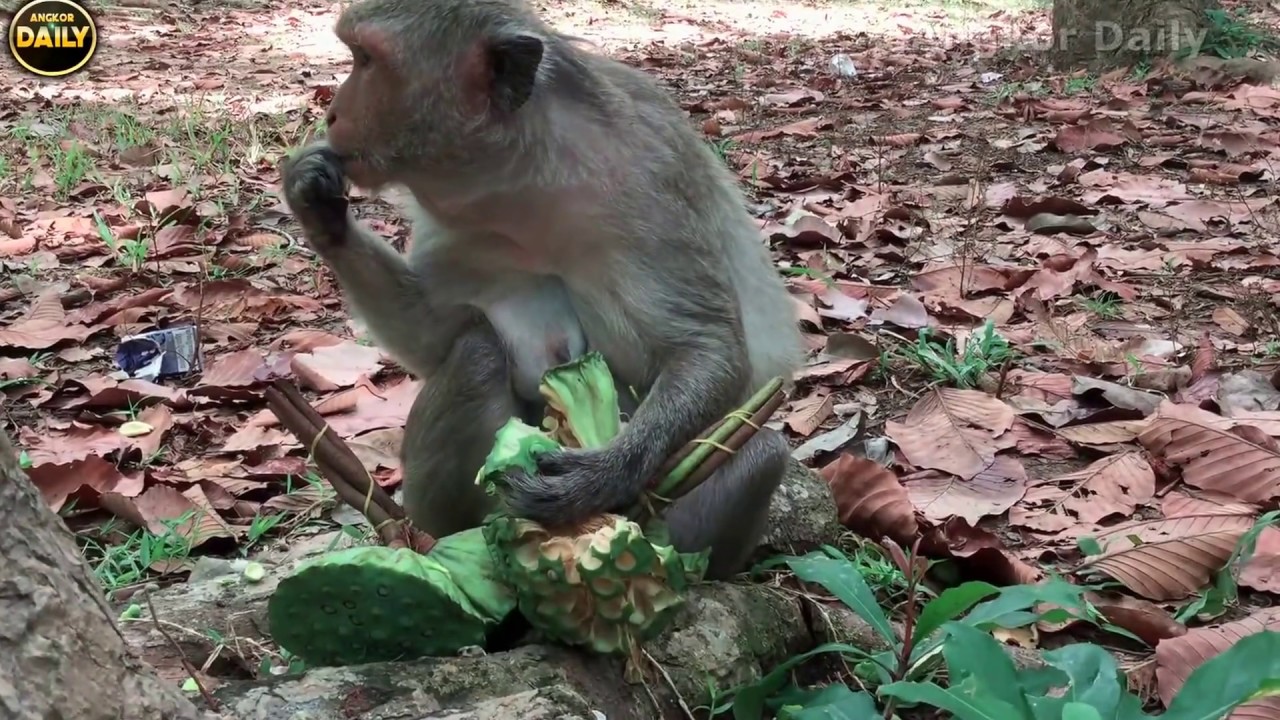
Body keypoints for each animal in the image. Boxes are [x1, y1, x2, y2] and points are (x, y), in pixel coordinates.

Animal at [280, 0, 805, 580]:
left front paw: (598, 476)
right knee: (478, 353)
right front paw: (317, 206)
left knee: (761, 452)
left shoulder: (648, 185)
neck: (526, 183)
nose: (331, 113)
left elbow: (708, 348)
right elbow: (435, 337)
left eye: (366, 59)